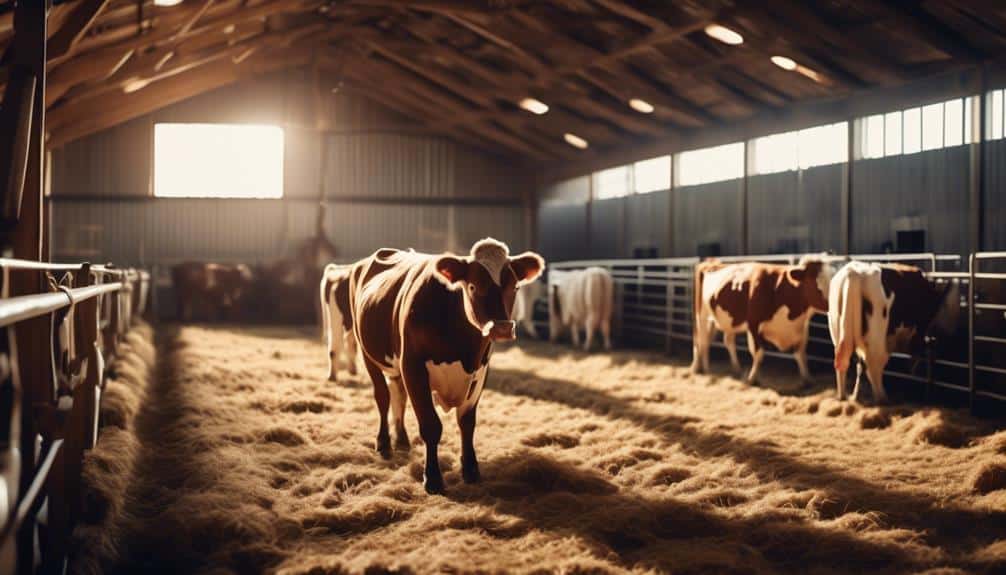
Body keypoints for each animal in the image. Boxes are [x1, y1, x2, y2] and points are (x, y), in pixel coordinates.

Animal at [347, 238, 544, 493]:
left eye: (516, 287)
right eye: (472, 286)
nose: (502, 328)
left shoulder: (480, 371)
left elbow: (467, 423)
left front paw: (470, 470)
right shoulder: (413, 367)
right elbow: (431, 426)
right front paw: (432, 478)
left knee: (398, 395)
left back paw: (402, 440)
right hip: (367, 353)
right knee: (382, 397)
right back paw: (384, 443)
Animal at [691, 256, 833, 384]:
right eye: (816, 282)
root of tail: (711, 262)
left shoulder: (802, 327)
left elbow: (800, 353)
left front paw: (807, 378)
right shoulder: (753, 323)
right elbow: (759, 353)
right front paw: (752, 378)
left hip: (729, 320)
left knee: (727, 341)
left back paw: (736, 368)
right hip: (701, 315)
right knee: (701, 340)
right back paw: (704, 368)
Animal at [829, 261, 960, 403]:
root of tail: (854, 273)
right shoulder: (920, 327)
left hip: (838, 333)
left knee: (842, 365)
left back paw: (843, 396)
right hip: (877, 339)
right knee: (874, 366)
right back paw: (882, 398)